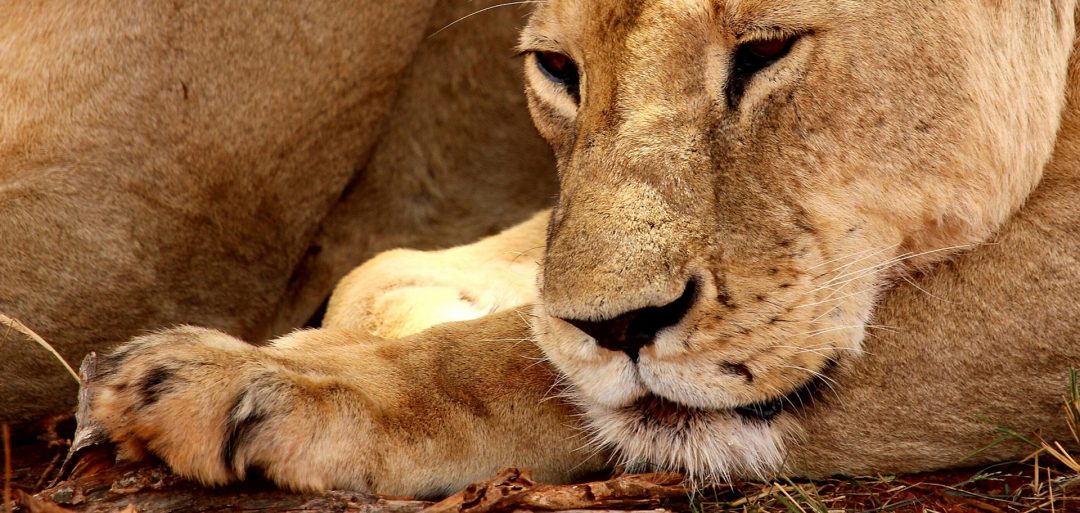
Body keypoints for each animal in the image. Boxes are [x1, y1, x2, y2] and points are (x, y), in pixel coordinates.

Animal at [90, 0, 1079, 500]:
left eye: (766, 48)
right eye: (558, 68)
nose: (621, 328)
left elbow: (518, 361)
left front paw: (277, 380)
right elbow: (404, 274)